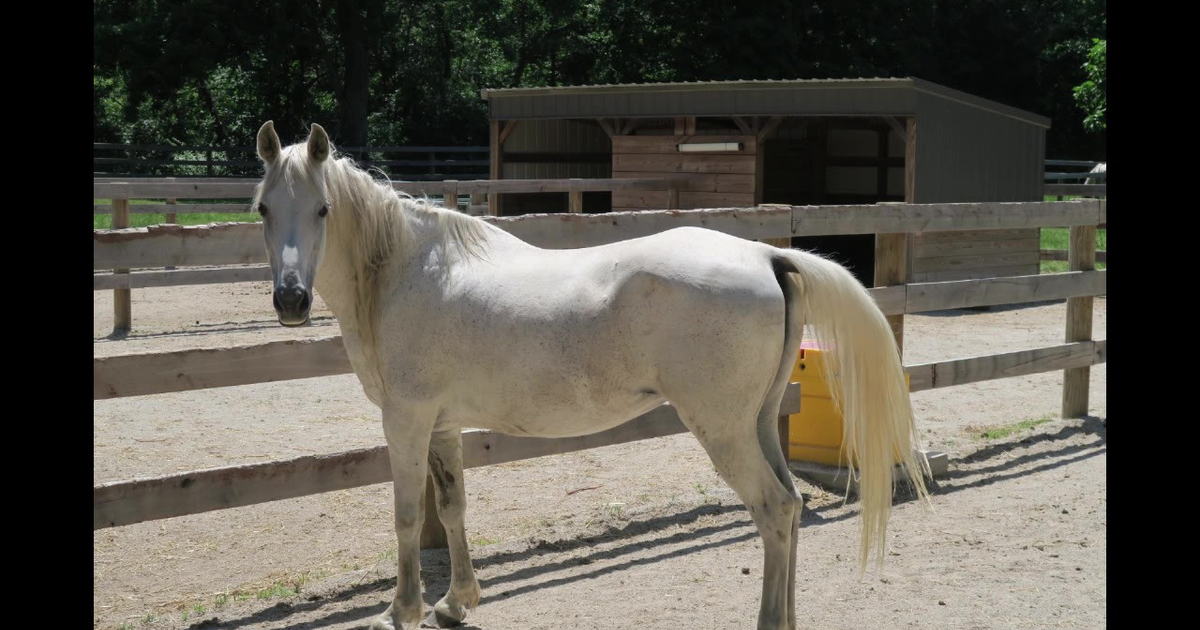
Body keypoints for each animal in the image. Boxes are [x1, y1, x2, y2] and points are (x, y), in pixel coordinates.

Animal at [252, 121, 930, 630]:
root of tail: (767, 254)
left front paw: (402, 611)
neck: (408, 270)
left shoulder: (407, 421)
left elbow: (406, 517)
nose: (290, 301)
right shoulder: (443, 427)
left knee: (773, 509)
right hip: (759, 422)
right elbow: (452, 508)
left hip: (724, 431)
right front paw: (455, 603)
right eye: (263, 209)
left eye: (323, 209)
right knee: (790, 505)